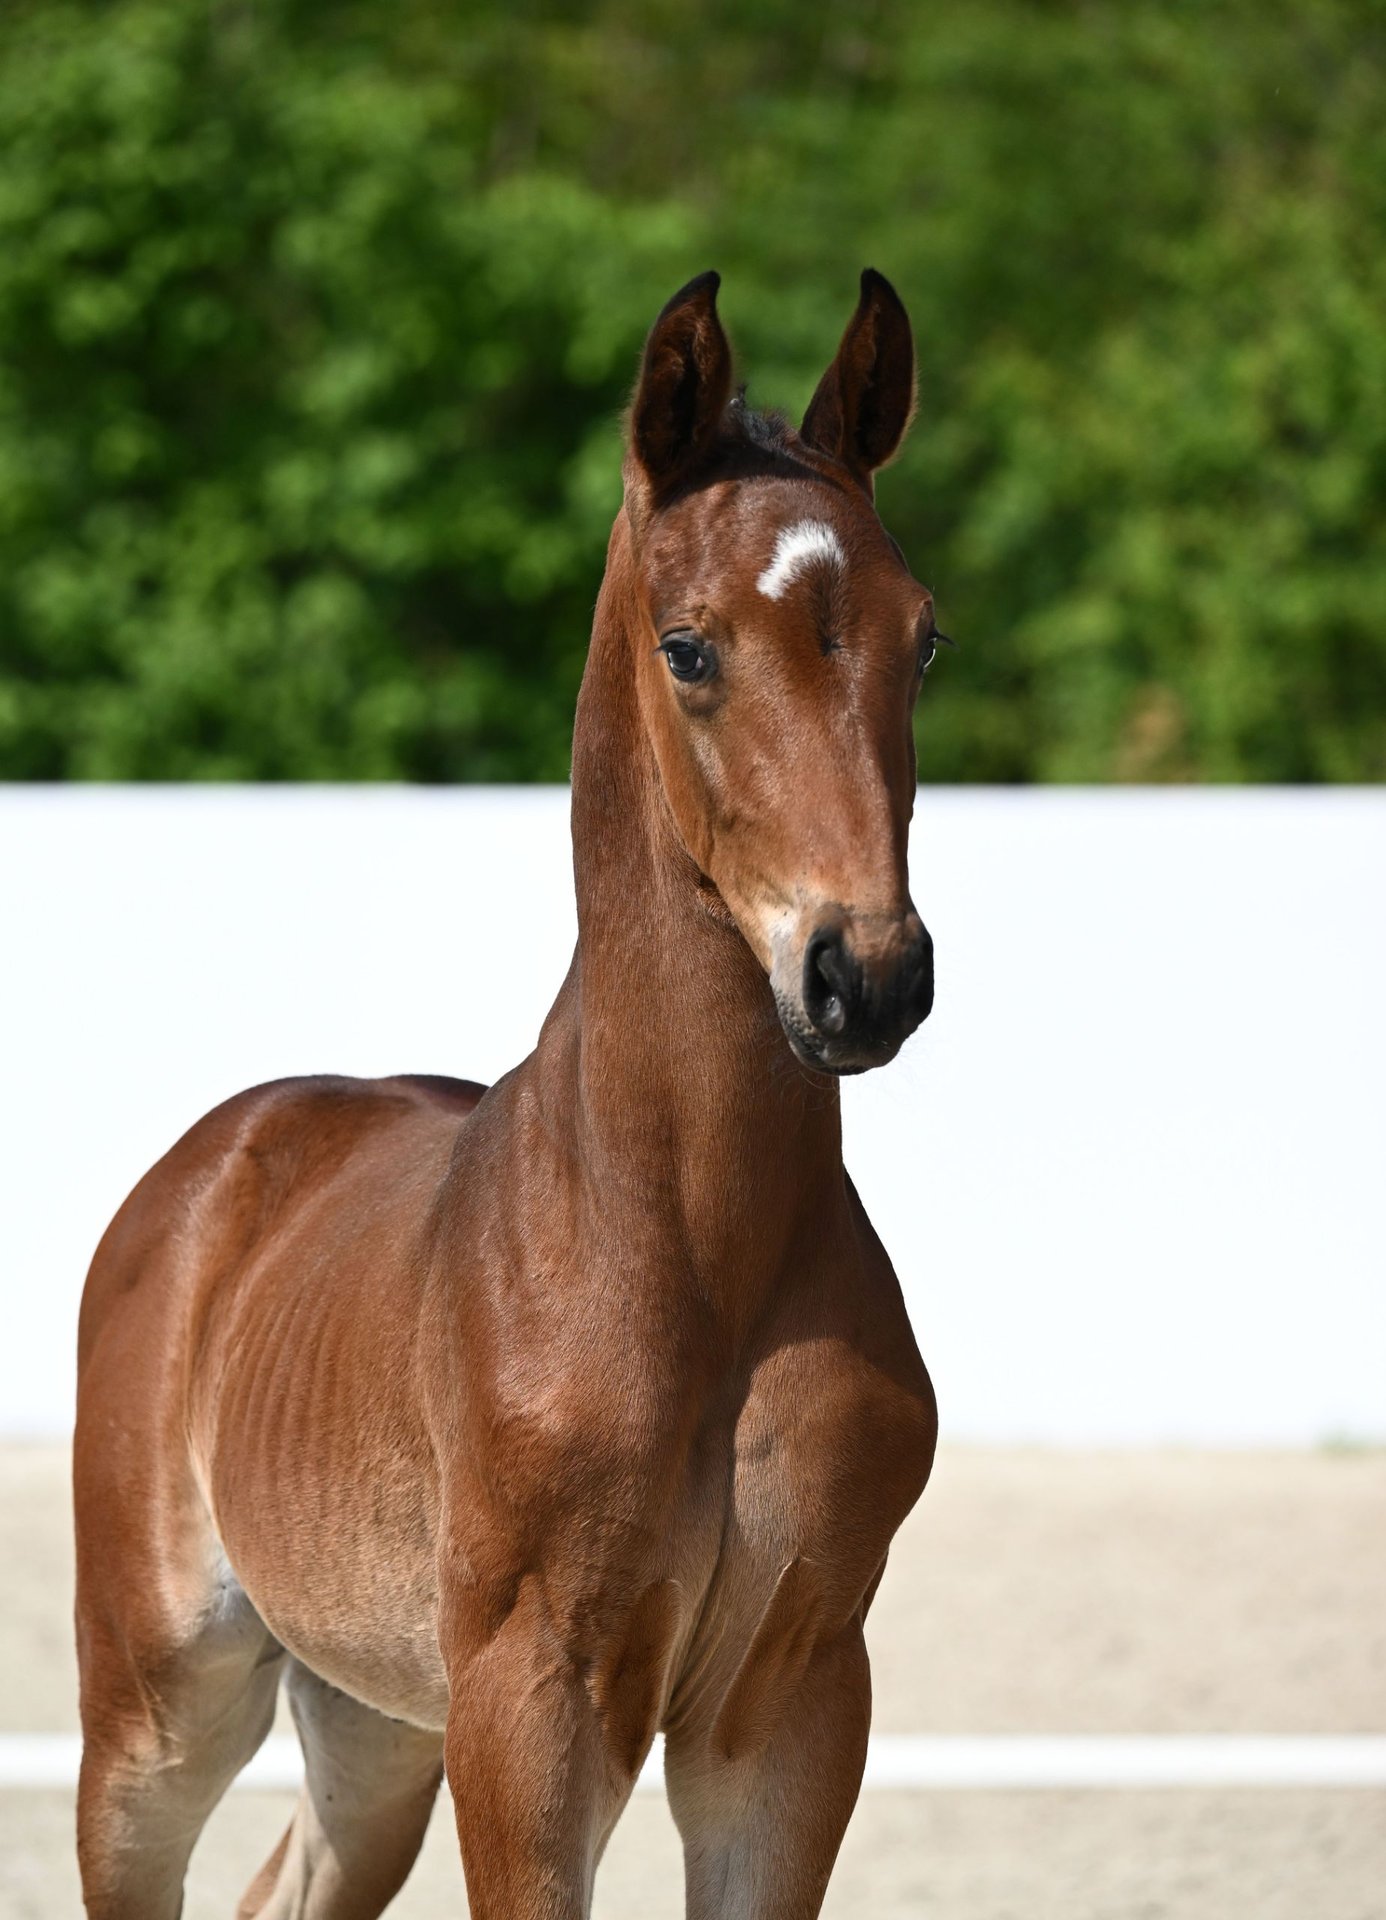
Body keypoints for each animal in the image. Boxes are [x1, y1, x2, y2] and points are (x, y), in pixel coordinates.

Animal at [74, 268, 943, 1920]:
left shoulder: (793, 1698)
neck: (689, 1240)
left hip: (370, 1720)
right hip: (159, 1704)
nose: (863, 976)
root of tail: (211, 1164)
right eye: (687, 646)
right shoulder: (531, 1699)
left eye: (921, 641)